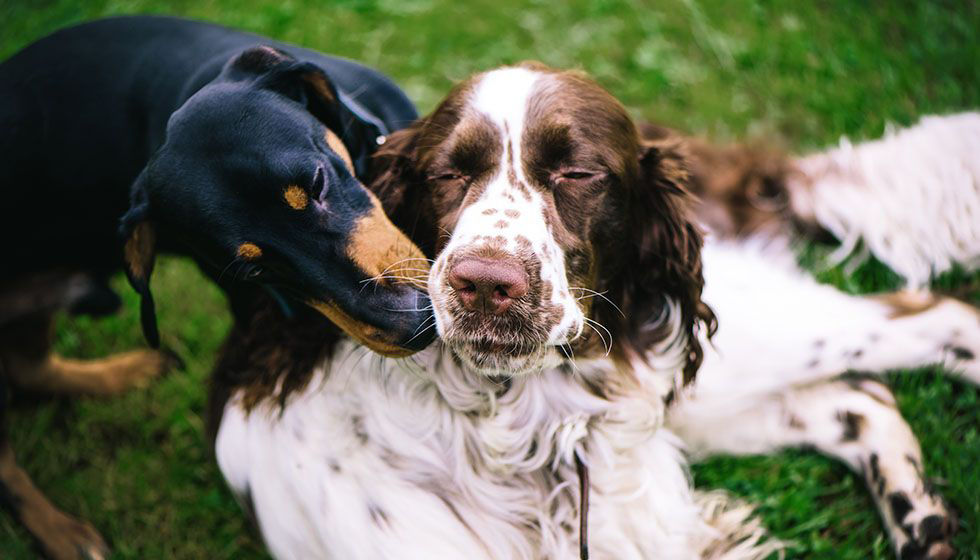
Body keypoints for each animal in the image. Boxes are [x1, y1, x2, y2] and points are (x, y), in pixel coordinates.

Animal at [212, 62, 972, 560]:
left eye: (578, 173)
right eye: (446, 174)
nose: (484, 283)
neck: (530, 427)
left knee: (938, 316)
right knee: (859, 397)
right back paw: (918, 518)